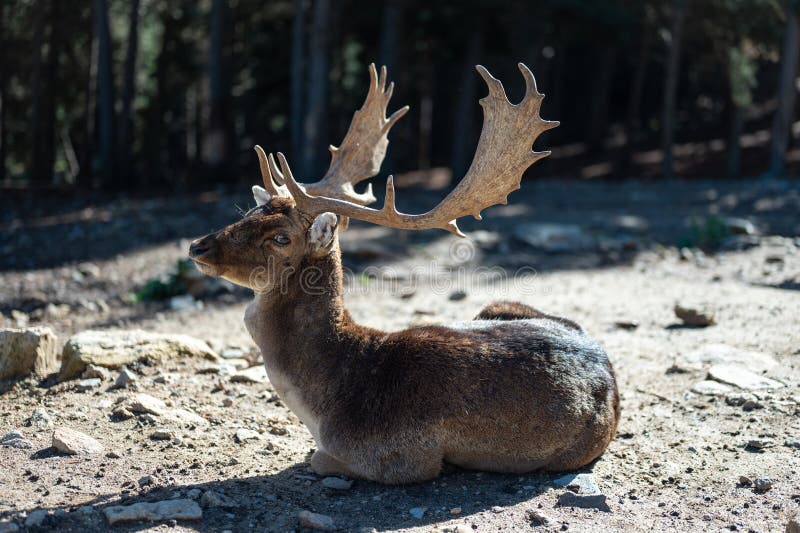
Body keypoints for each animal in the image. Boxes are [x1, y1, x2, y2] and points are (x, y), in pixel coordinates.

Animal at [189, 63, 619, 484]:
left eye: (280, 237)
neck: (326, 403)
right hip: (501, 302)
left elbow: (317, 460)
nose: (197, 246)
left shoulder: (401, 458)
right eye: (247, 212)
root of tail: (609, 369)